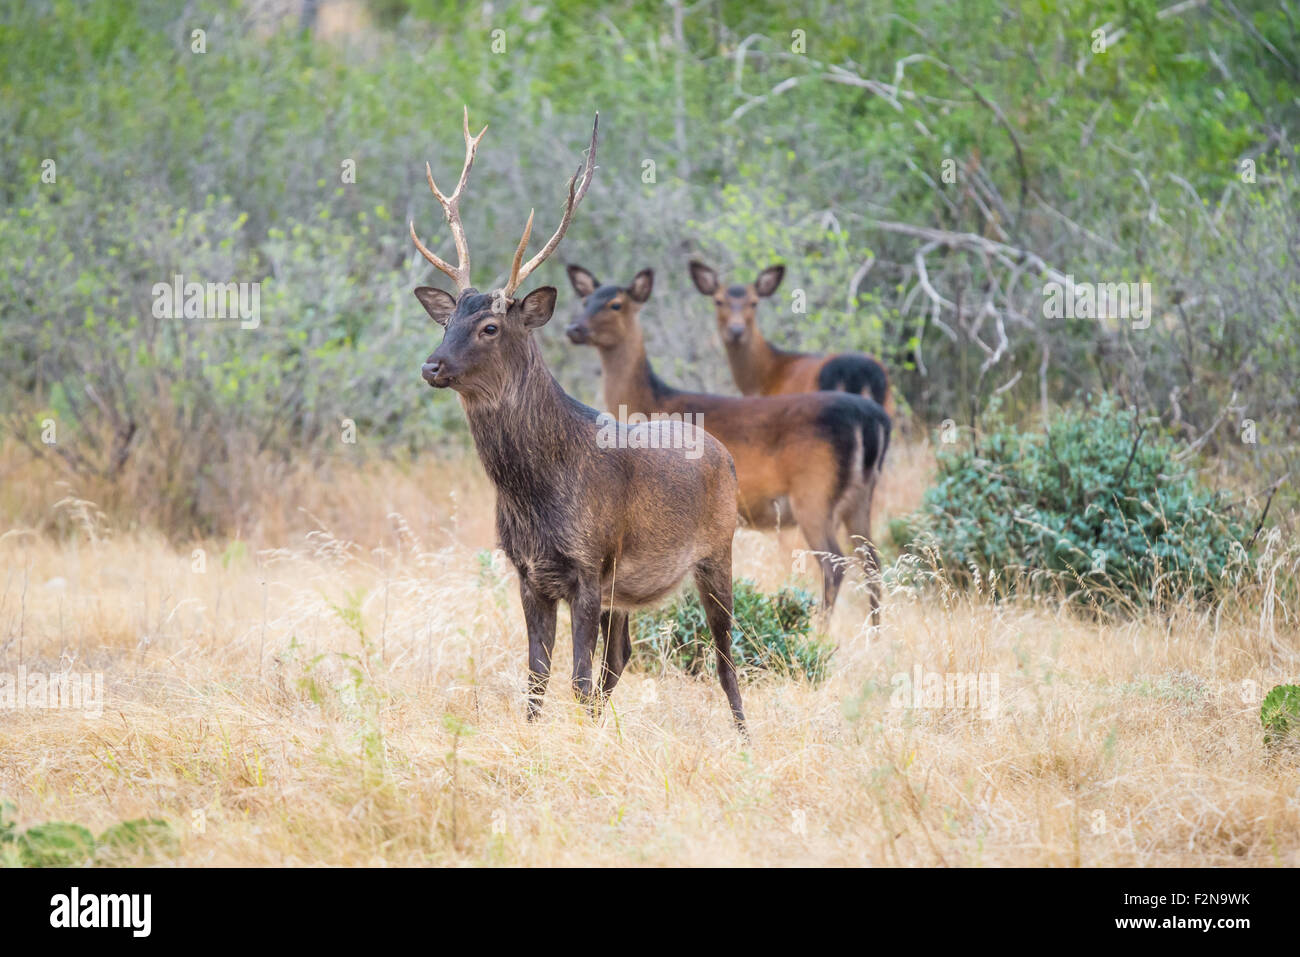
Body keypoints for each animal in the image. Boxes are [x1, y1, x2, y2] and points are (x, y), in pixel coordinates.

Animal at [409, 110, 745, 733]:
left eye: (491, 326)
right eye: (448, 322)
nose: (432, 365)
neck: (535, 491)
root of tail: (723, 451)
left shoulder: (590, 563)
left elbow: (578, 680)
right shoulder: (528, 573)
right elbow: (538, 678)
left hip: (718, 549)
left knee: (725, 657)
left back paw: (743, 736)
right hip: (628, 591)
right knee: (623, 657)